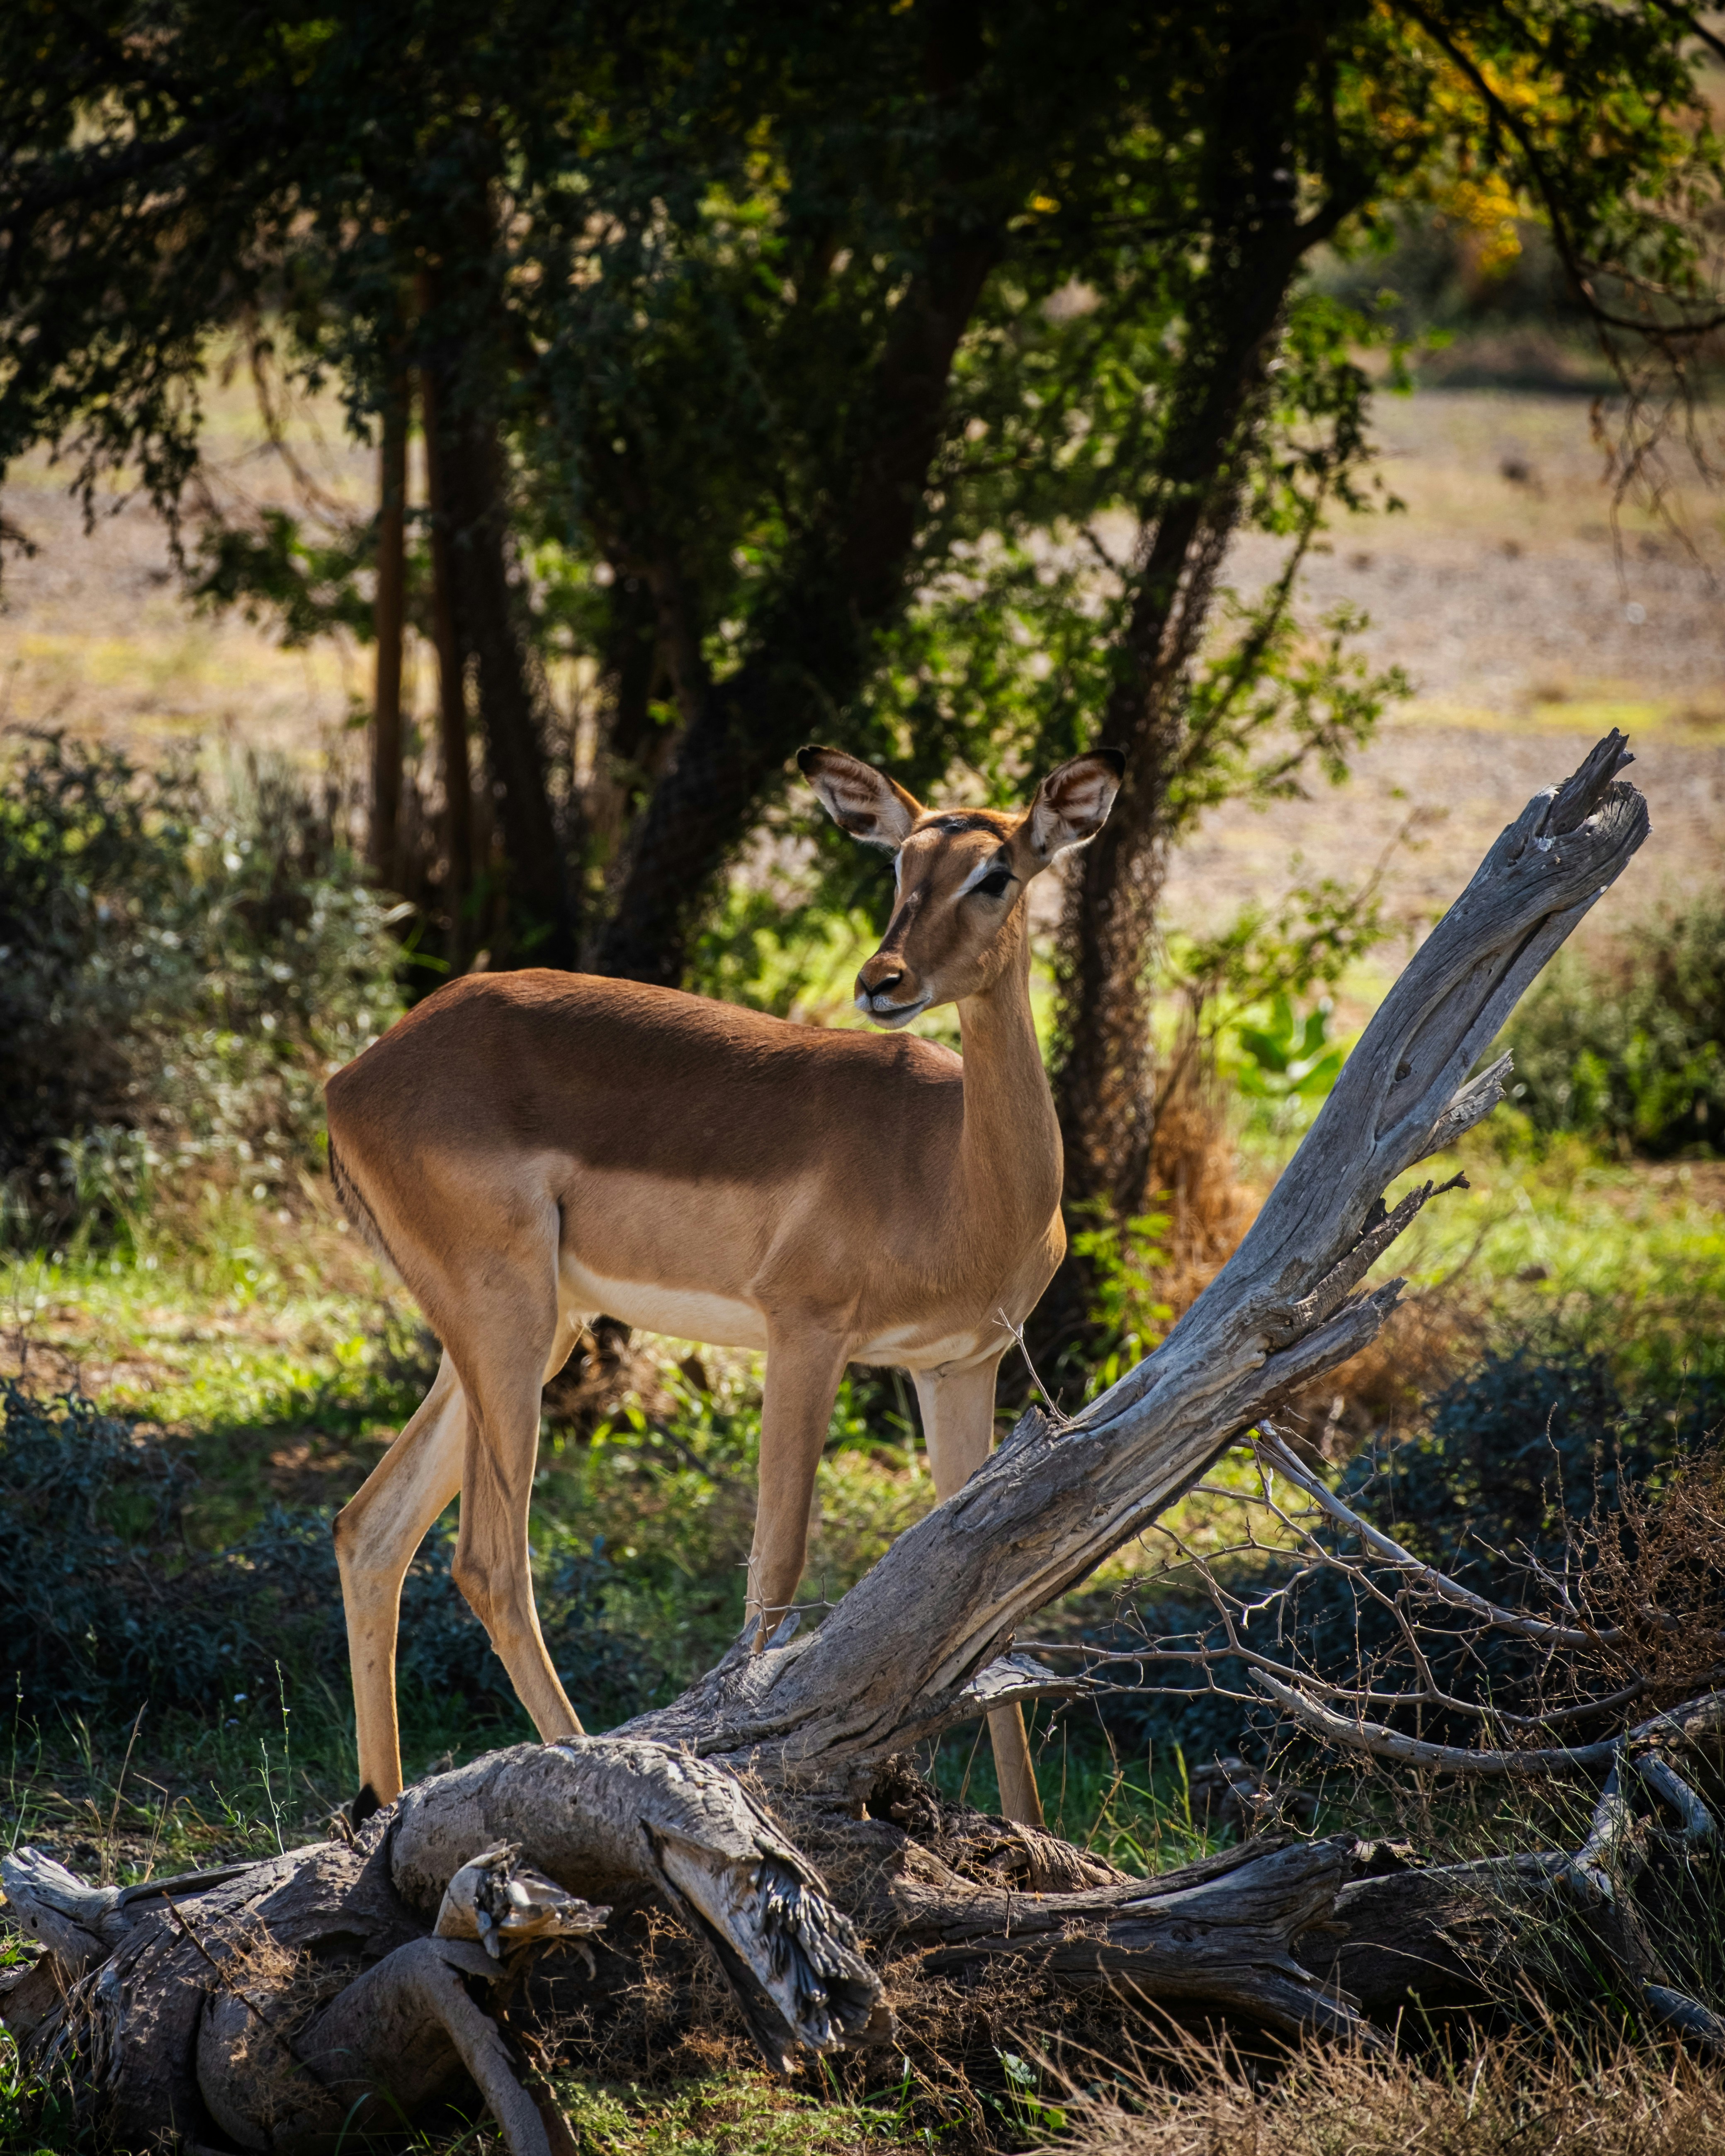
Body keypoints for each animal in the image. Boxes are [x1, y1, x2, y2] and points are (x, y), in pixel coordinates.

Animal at [324, 744, 1124, 1827]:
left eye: (995, 870)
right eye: (900, 864)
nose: (883, 980)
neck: (955, 1173)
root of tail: (353, 1077)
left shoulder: (959, 1365)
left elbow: (985, 1582)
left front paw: (1032, 1838)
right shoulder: (805, 1334)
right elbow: (774, 1570)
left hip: (529, 1332)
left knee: (370, 1528)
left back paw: (384, 1801)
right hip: (507, 1323)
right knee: (489, 1561)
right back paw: (598, 1773)